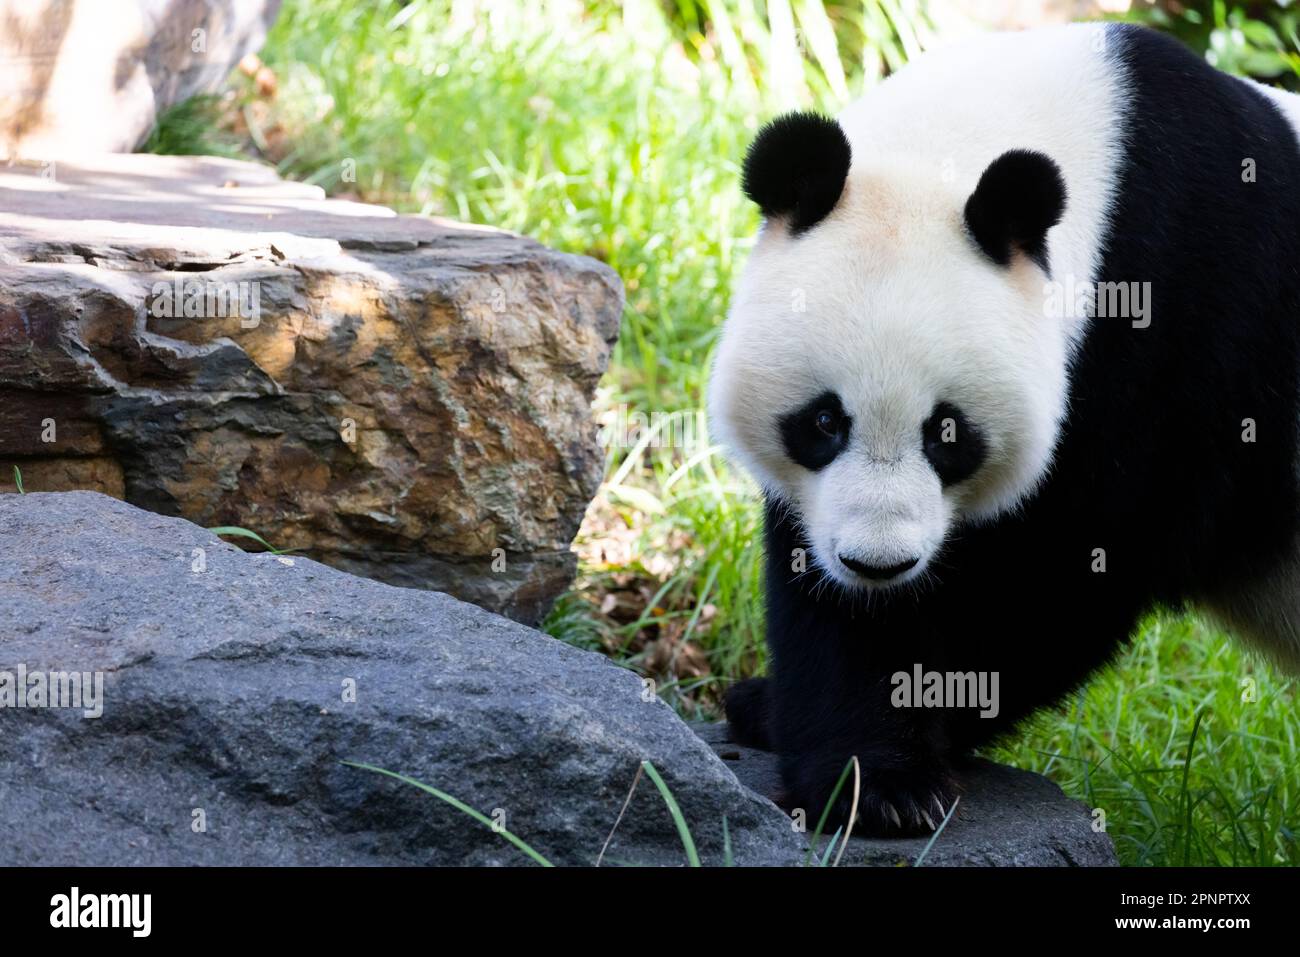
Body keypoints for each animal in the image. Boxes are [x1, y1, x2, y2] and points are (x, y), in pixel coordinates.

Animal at [708, 21, 1300, 835]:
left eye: (947, 433)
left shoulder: (1179, 346)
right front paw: (864, 774)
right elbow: (815, 576)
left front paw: (886, 763)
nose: (879, 565)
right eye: (824, 421)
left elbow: (1057, 579)